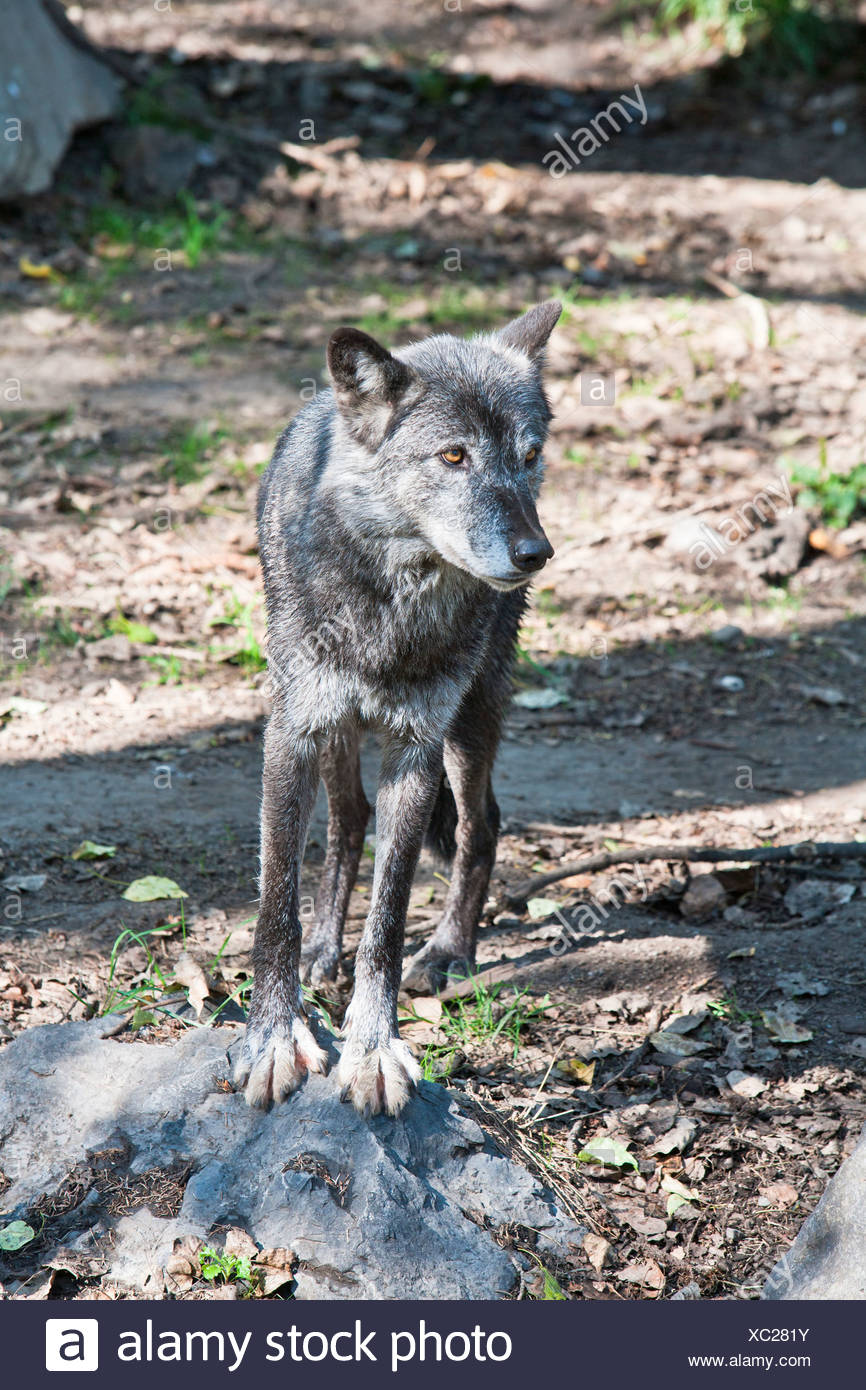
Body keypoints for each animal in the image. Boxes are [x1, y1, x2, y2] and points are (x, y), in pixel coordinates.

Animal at [235, 300, 561, 1117]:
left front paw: (372, 1049)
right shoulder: (292, 732)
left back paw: (447, 952)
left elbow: (386, 920)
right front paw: (274, 1040)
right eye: (453, 457)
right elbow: (276, 906)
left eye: (529, 455)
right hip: (339, 734)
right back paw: (325, 949)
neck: (394, 599)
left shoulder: (416, 748)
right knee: (348, 819)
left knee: (481, 825)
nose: (534, 552)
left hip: (471, 721)